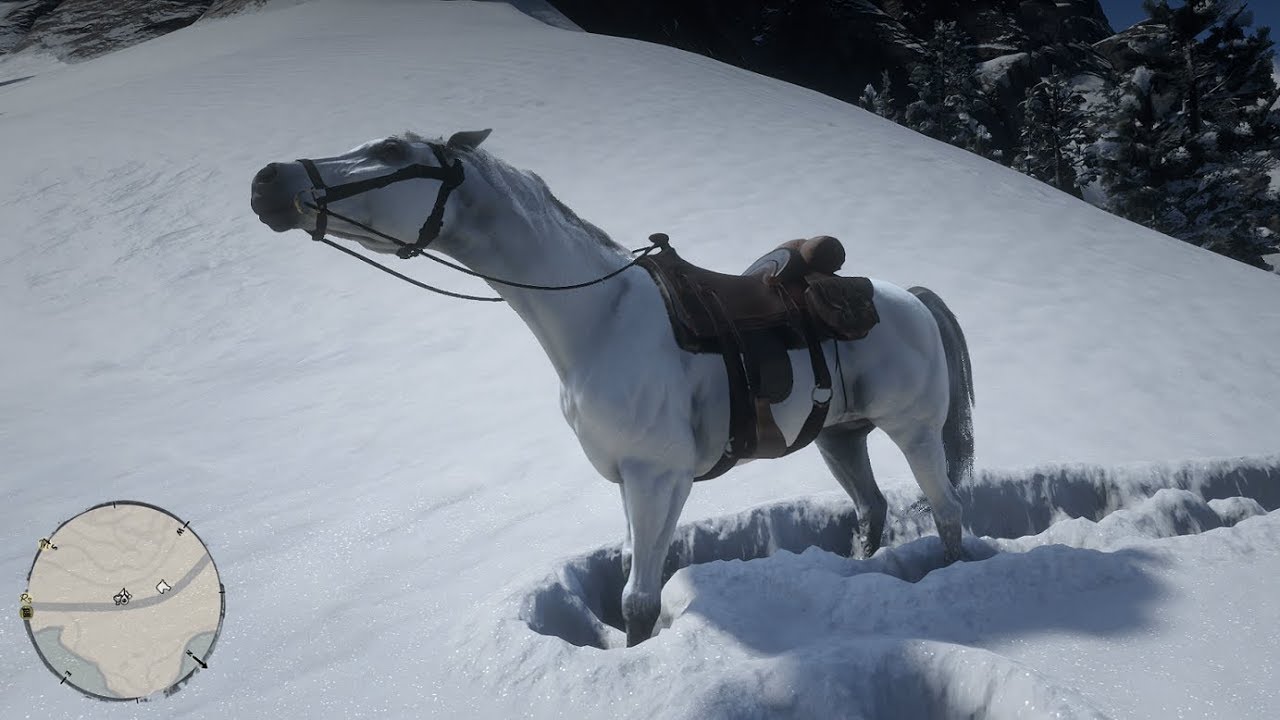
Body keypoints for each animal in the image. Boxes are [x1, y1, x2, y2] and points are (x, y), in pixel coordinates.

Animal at [249, 129, 975, 647]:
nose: (269, 180)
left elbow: (639, 600)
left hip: (913, 433)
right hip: (841, 436)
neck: (599, 319)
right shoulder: (629, 479)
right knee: (871, 509)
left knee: (946, 512)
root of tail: (908, 299)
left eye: (393, 151)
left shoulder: (658, 478)